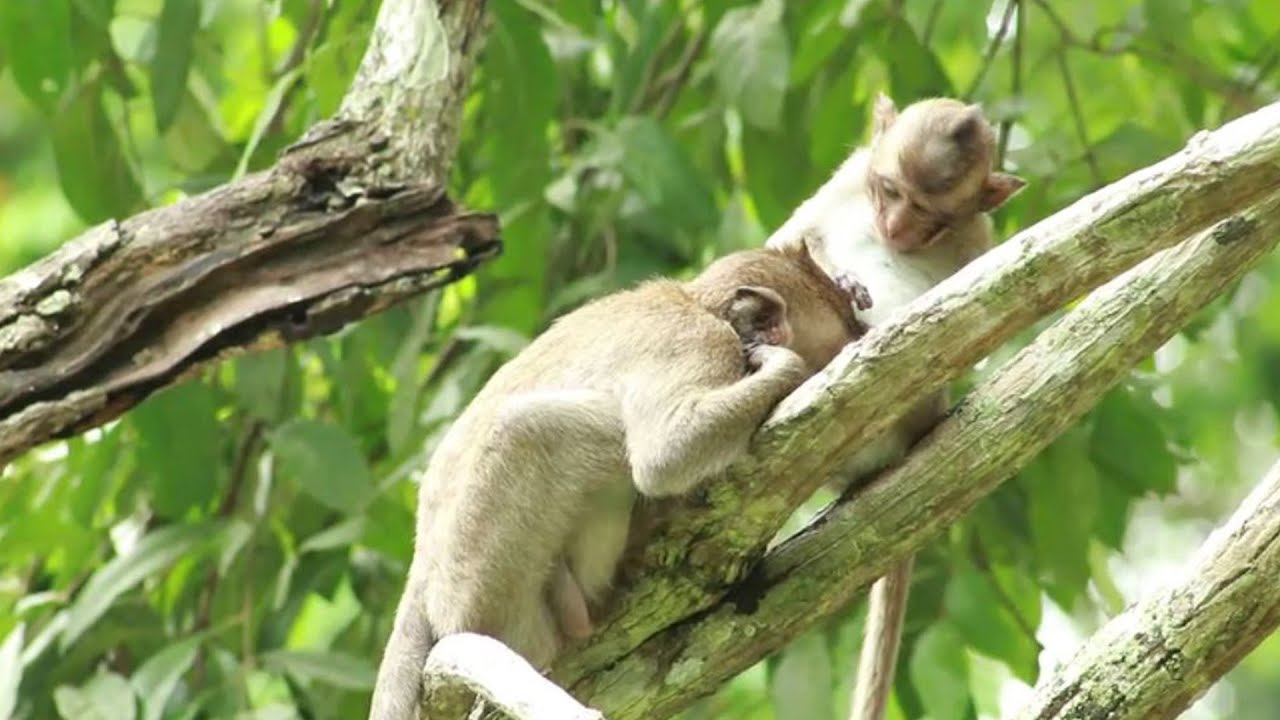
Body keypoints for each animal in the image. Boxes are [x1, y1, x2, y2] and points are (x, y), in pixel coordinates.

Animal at [368, 244, 868, 720]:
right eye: (845, 337)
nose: (859, 337)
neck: (700, 305)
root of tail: (422, 569)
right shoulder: (700, 344)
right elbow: (665, 454)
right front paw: (786, 368)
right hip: (473, 589)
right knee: (537, 429)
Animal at [766, 94, 1025, 720]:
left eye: (930, 215)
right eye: (890, 191)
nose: (896, 227)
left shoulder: (977, 235)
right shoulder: (847, 177)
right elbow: (787, 242)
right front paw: (835, 272)